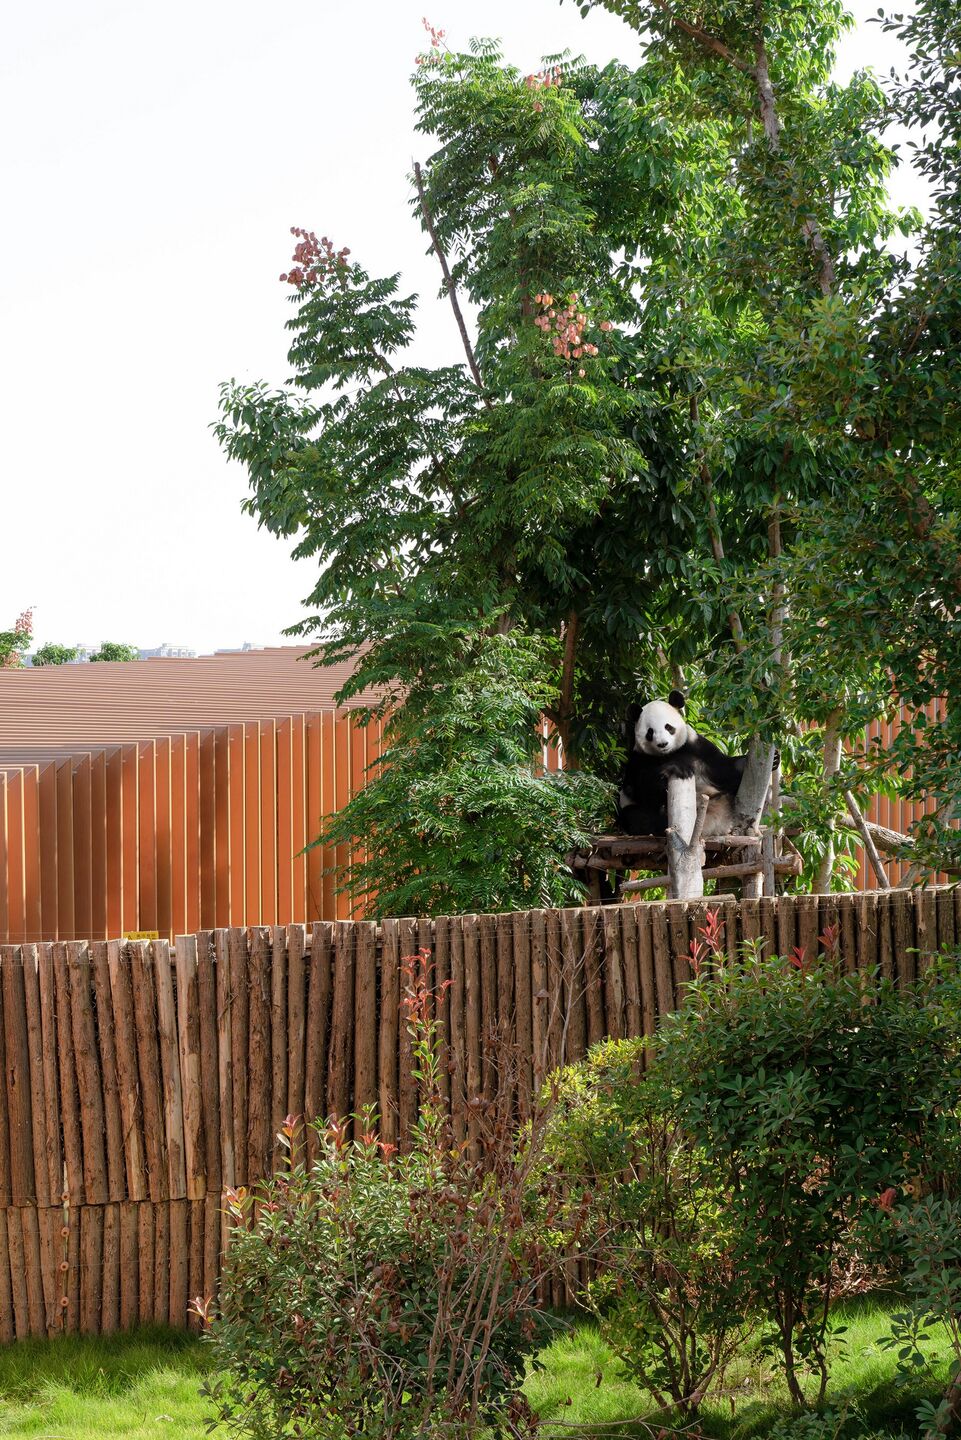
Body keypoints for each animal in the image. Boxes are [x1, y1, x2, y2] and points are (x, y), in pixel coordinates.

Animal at [616, 691, 747, 839]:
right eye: (650, 732)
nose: (663, 744)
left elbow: (724, 770)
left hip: (721, 801)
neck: (668, 754)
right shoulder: (639, 760)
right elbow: (642, 790)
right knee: (635, 816)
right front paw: (677, 769)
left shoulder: (697, 746)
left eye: (668, 727)